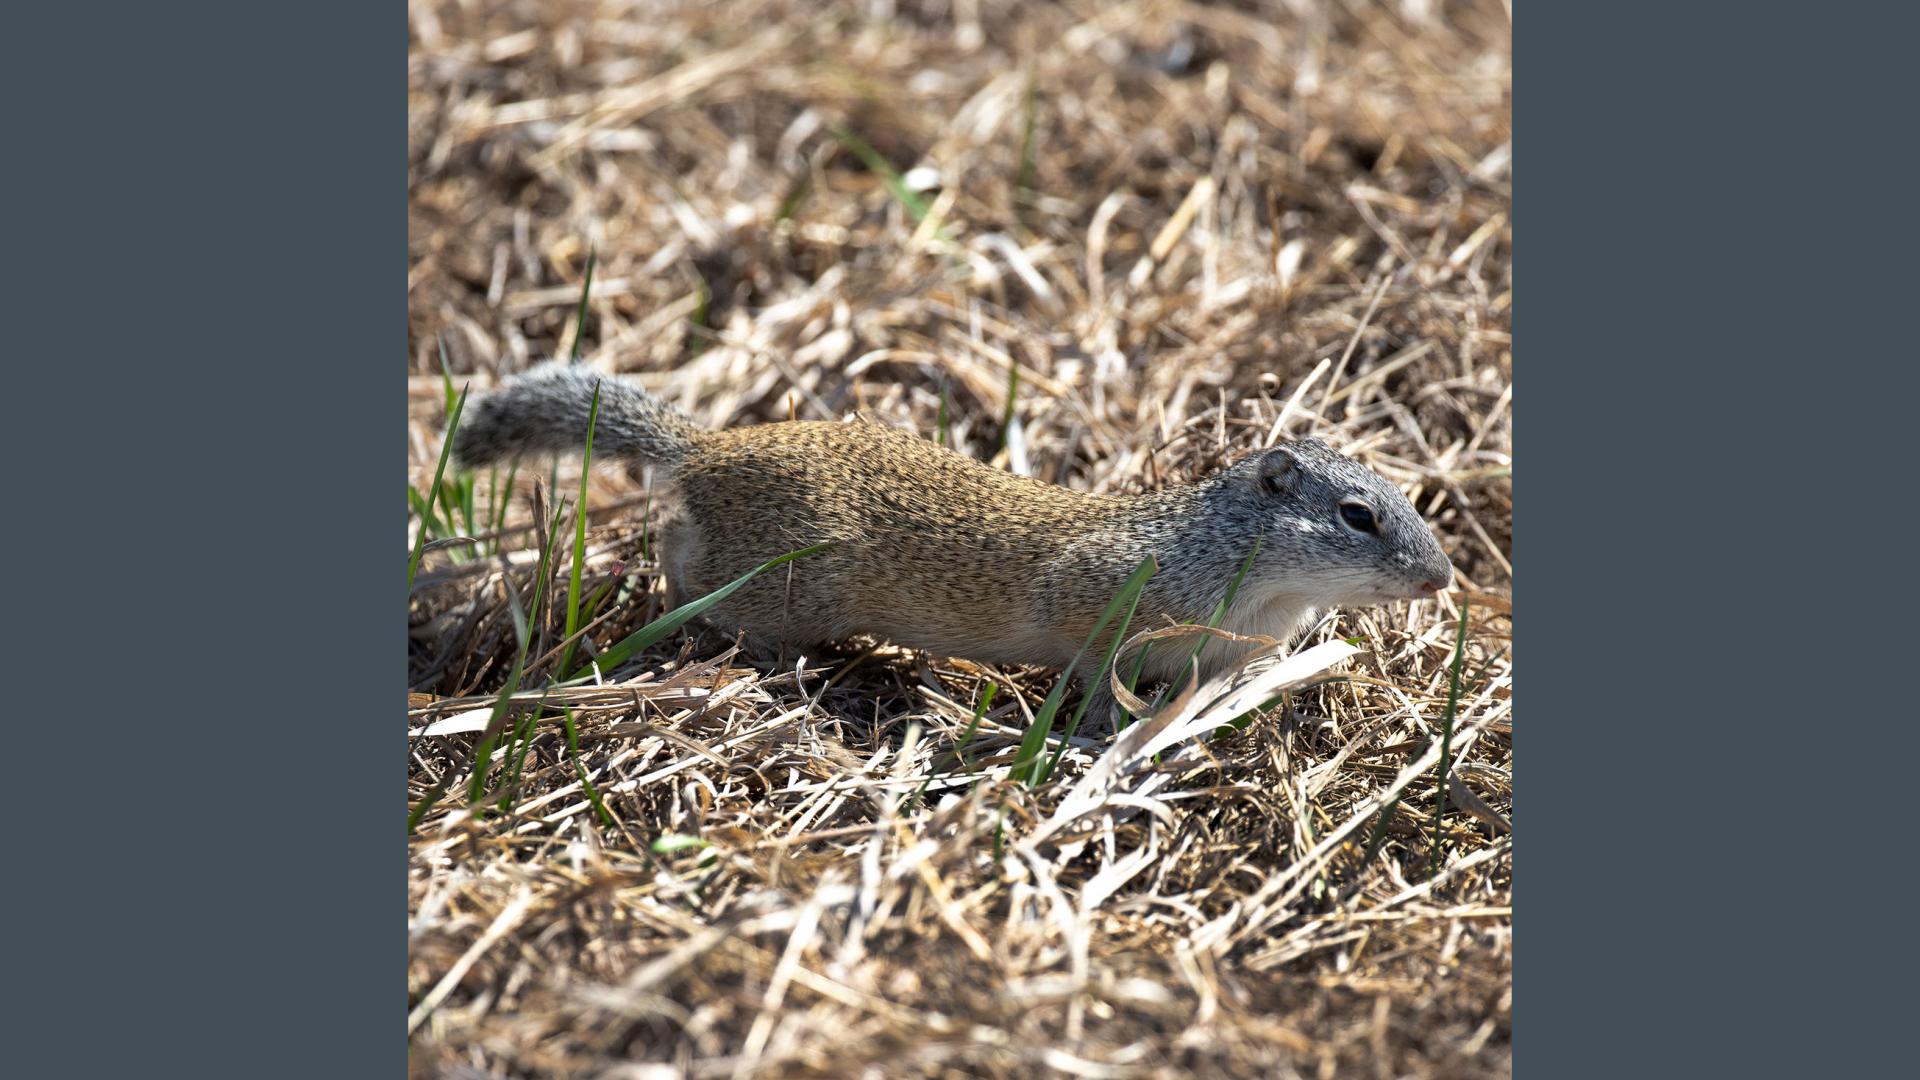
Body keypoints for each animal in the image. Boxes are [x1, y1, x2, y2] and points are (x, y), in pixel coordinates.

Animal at [452, 362, 1454, 703]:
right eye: (1358, 515)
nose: (1442, 579)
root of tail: (705, 448)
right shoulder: (1103, 602)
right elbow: (1095, 675)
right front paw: (1098, 731)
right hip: (784, 584)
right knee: (685, 571)